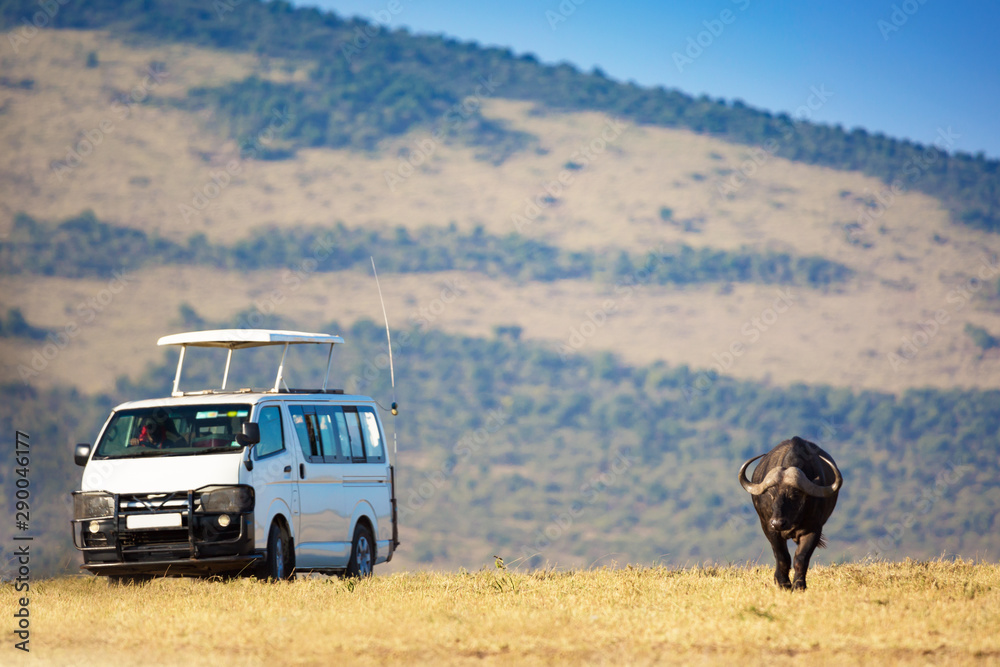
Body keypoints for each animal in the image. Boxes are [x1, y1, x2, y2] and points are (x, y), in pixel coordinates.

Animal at [738, 436, 843, 590]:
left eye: (795, 494)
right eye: (771, 494)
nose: (778, 523)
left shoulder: (814, 530)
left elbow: (801, 558)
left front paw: (799, 585)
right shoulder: (769, 528)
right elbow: (782, 557)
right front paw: (783, 583)